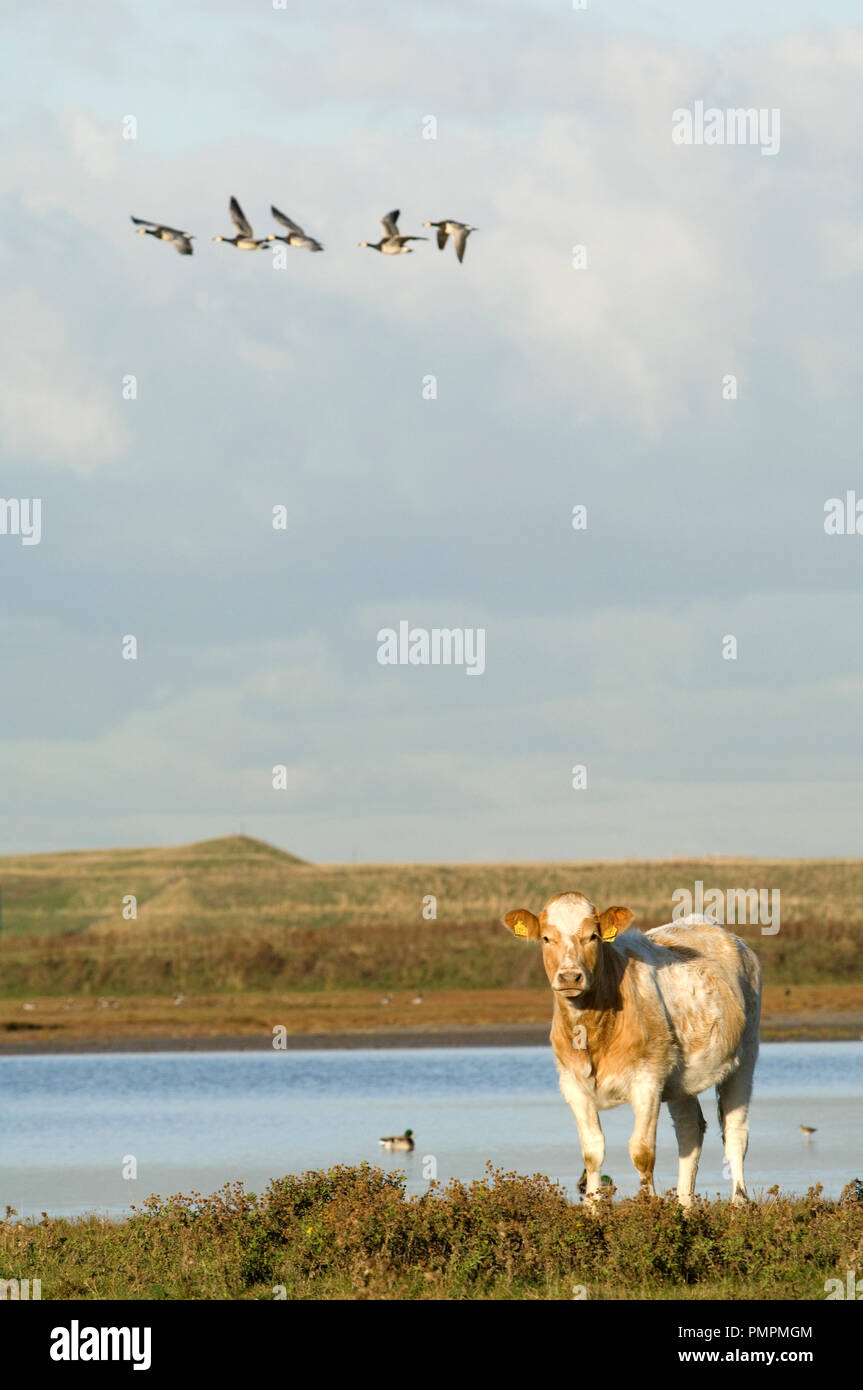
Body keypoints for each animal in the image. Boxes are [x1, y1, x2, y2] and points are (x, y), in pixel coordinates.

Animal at [502, 892, 761, 1205]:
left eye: (593, 936)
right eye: (546, 938)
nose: (570, 977)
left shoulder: (647, 1081)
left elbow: (642, 1151)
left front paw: (648, 1207)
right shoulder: (572, 1085)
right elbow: (592, 1151)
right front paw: (592, 1209)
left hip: (745, 1056)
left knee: (735, 1132)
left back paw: (738, 1203)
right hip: (681, 1079)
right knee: (690, 1130)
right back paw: (684, 1206)